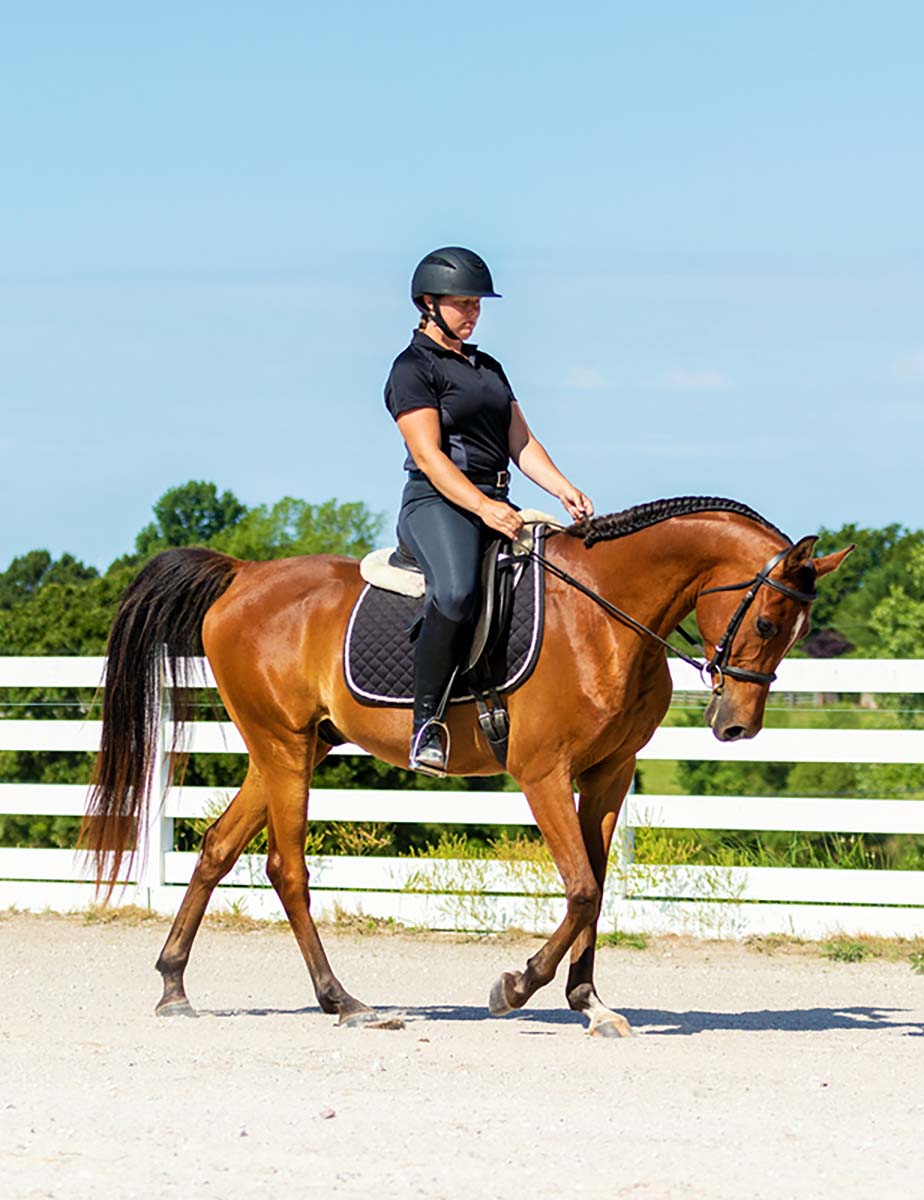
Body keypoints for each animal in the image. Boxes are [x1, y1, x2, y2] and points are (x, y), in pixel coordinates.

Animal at [83, 496, 852, 1038]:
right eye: (765, 622)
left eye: (796, 633)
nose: (736, 726)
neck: (605, 615)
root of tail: (244, 575)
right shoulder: (543, 773)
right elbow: (579, 888)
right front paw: (515, 987)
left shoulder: (608, 772)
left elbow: (598, 887)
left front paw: (590, 1003)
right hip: (283, 747)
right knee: (286, 868)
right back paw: (345, 1002)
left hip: (291, 749)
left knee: (217, 848)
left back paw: (174, 987)